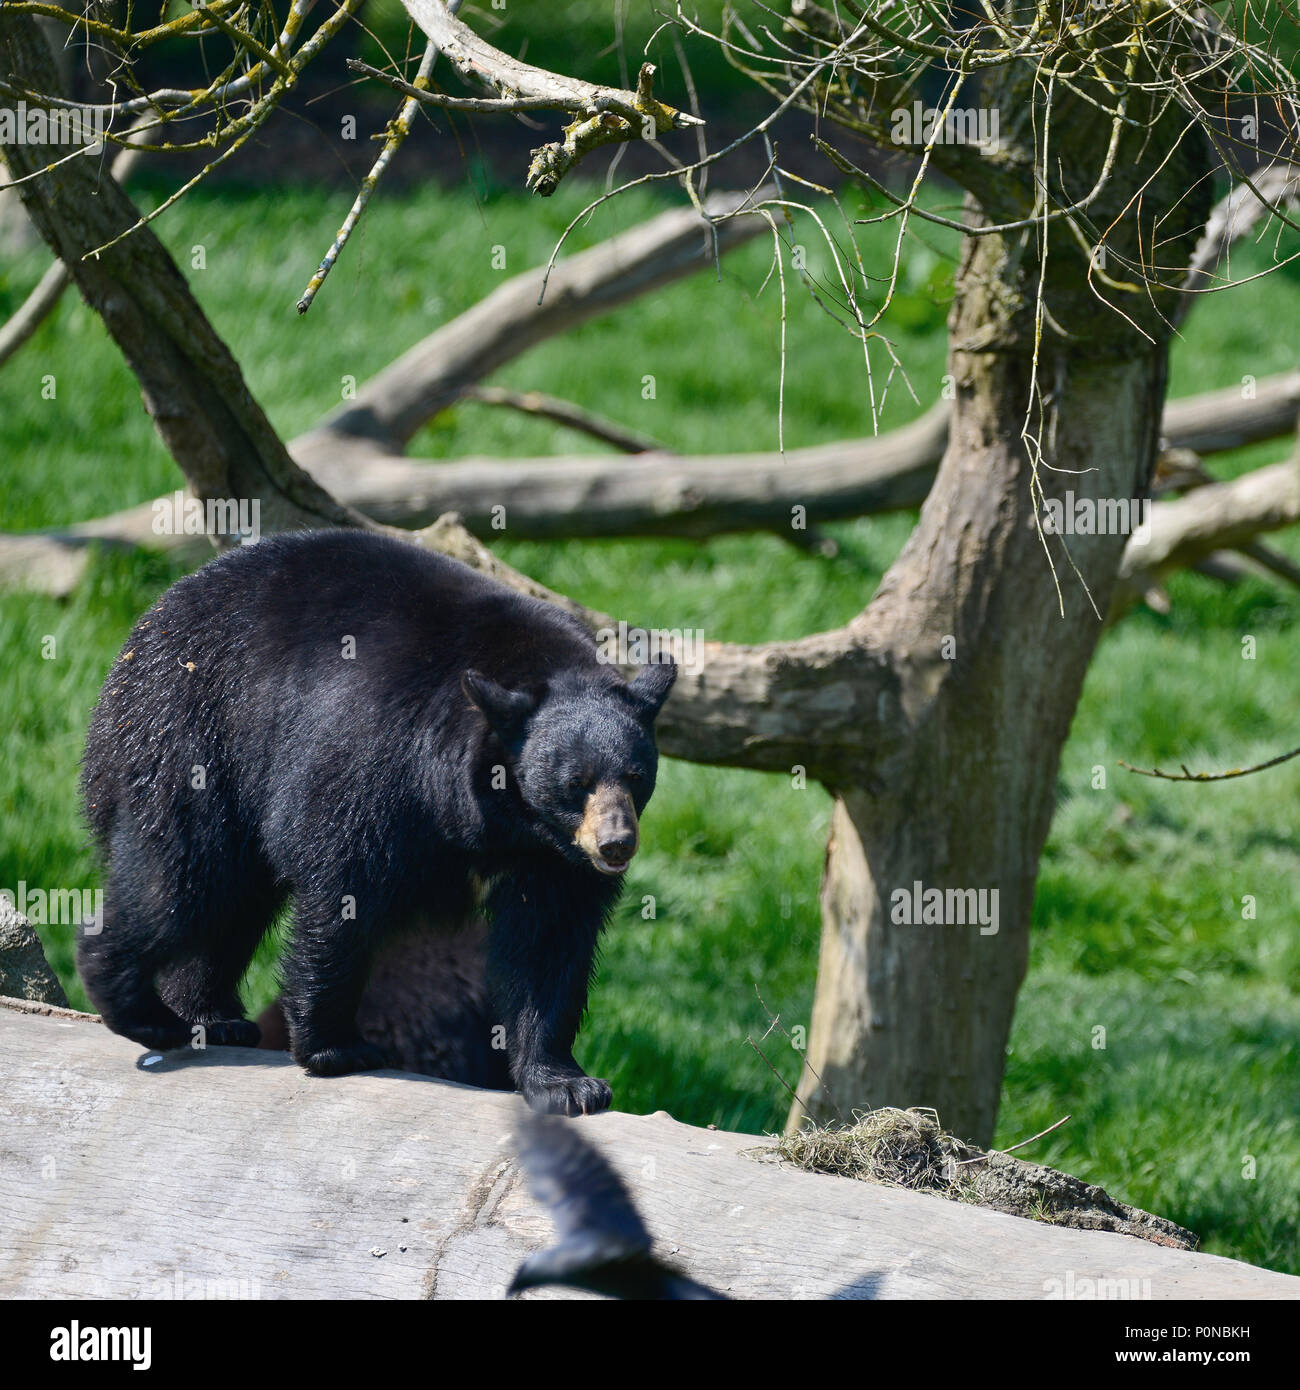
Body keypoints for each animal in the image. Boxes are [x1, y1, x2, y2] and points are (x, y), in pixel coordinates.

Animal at [79, 528, 675, 1115]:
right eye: (575, 783)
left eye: (636, 775)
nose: (615, 845)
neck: (498, 812)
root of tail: (153, 620)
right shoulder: (377, 754)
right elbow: (344, 886)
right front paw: (334, 1047)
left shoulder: (553, 854)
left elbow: (550, 939)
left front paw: (567, 1084)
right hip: (192, 736)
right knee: (183, 872)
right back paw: (139, 1004)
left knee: (230, 904)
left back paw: (211, 1017)